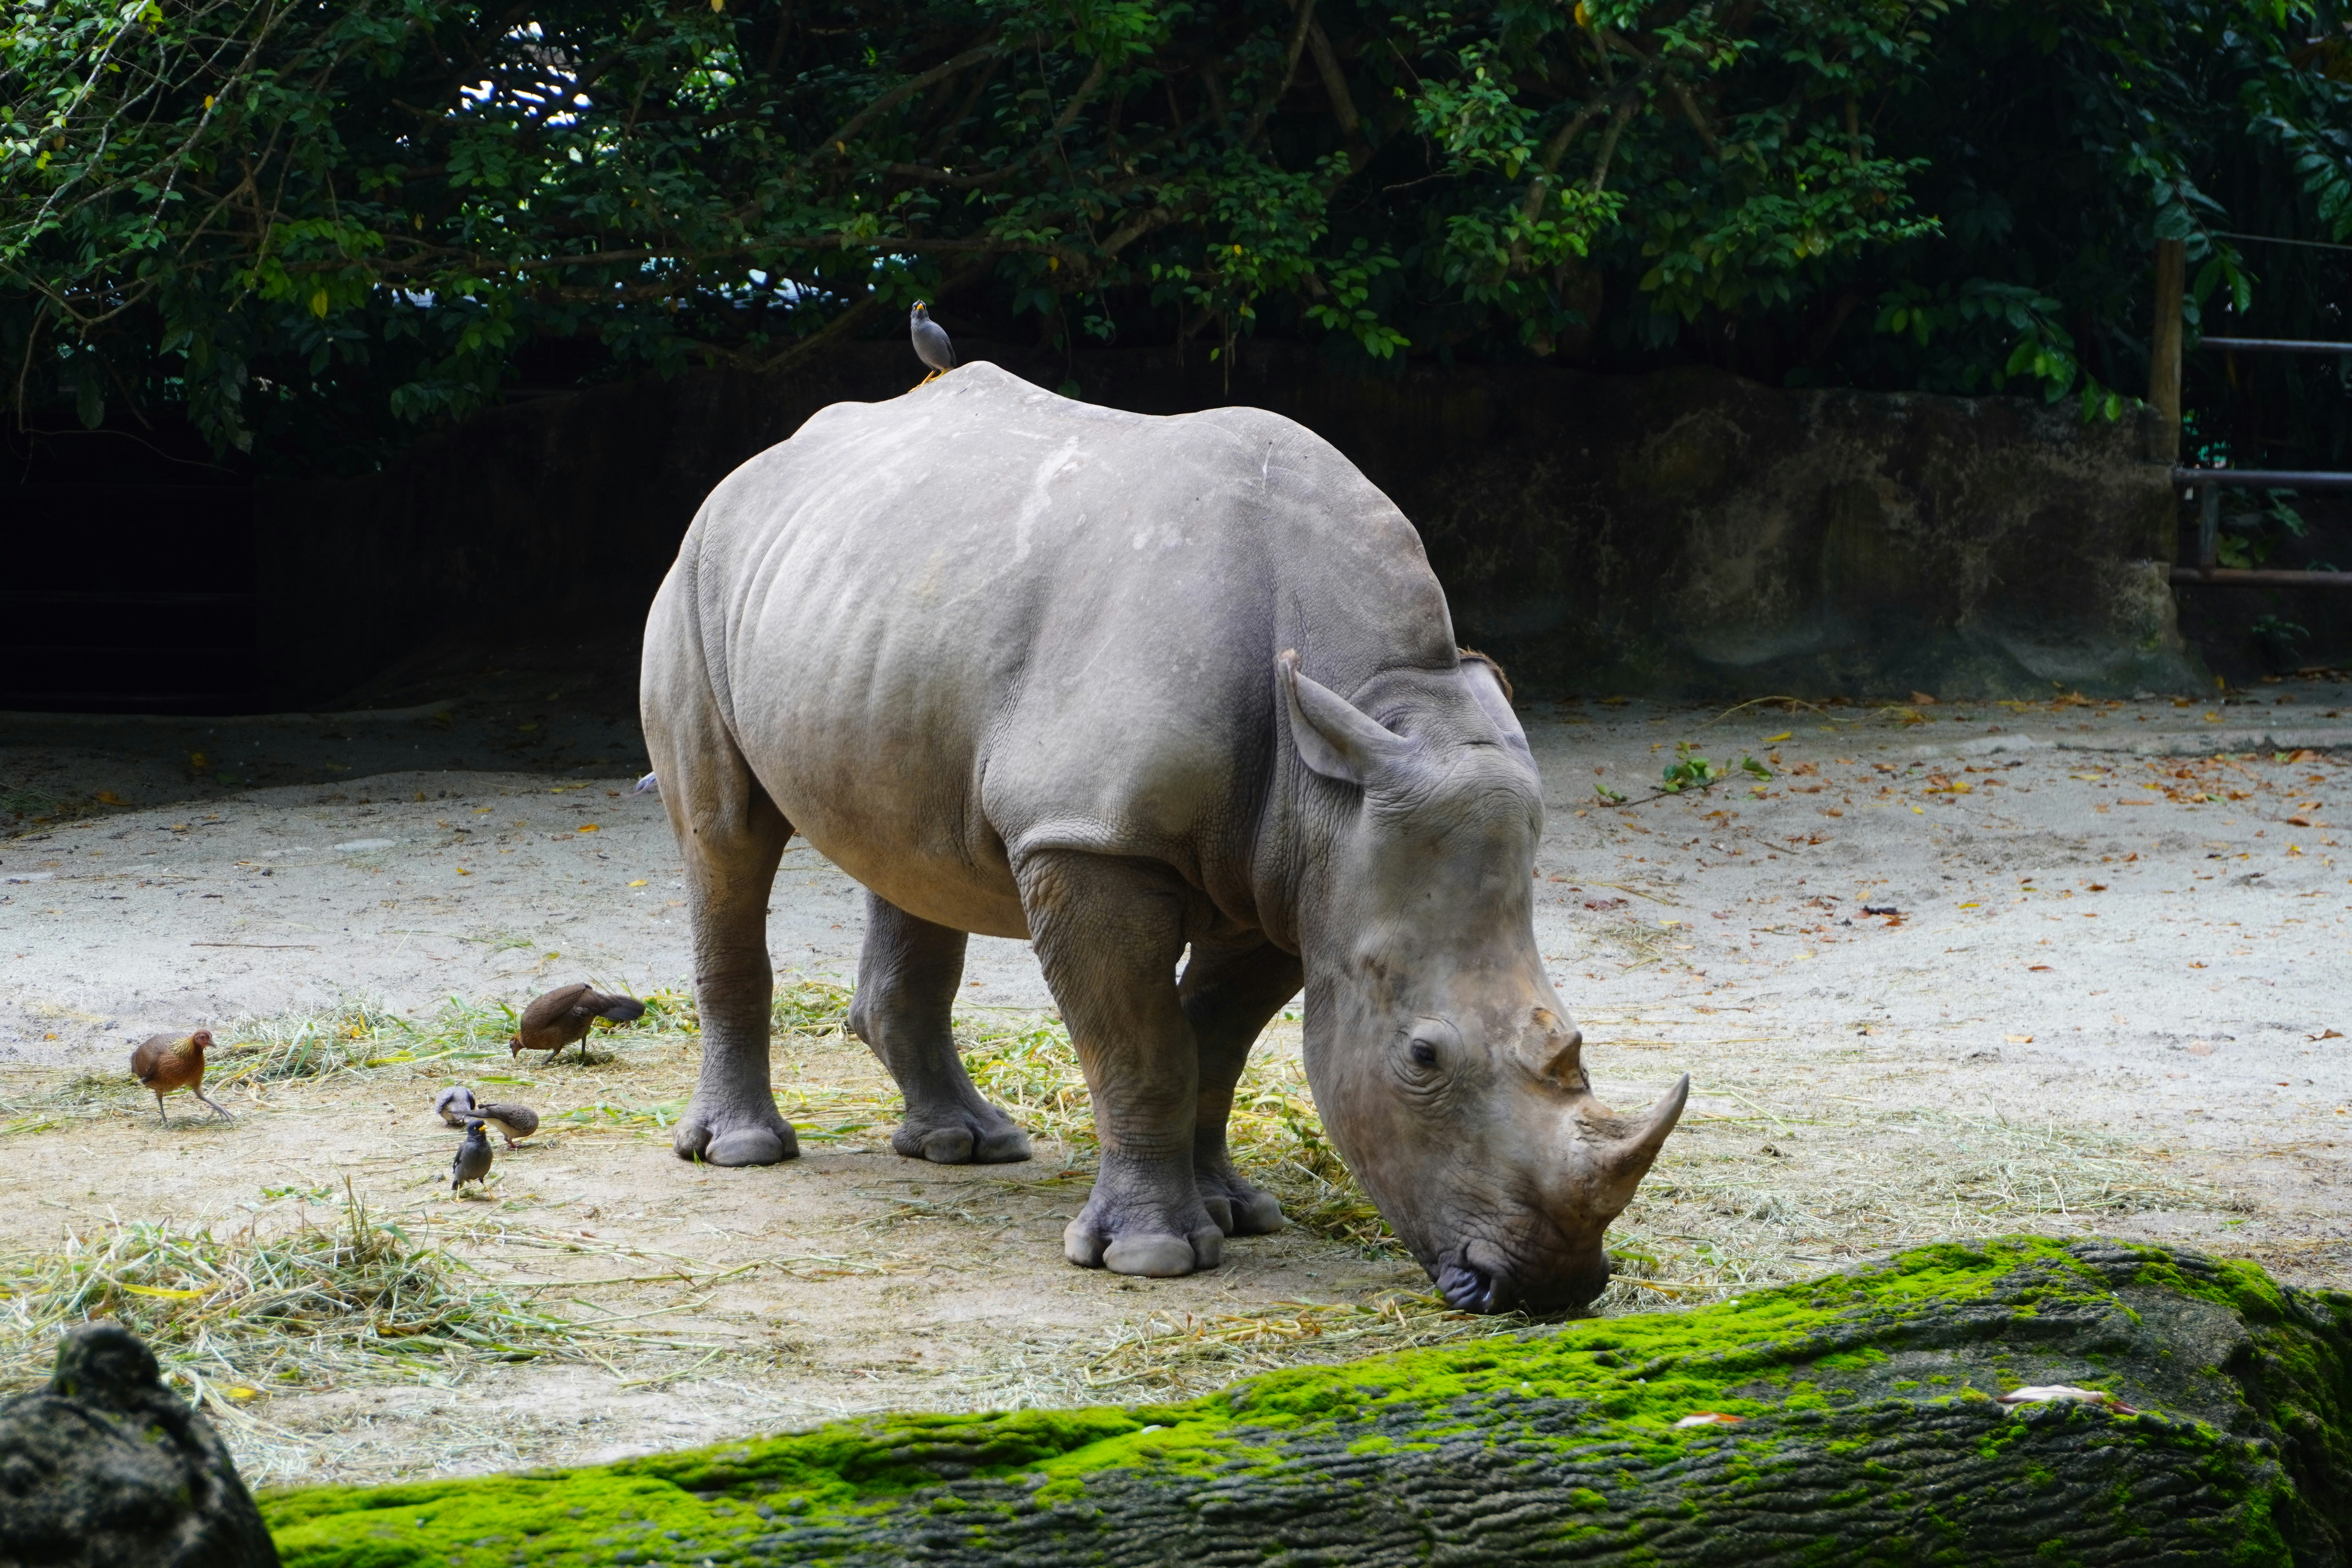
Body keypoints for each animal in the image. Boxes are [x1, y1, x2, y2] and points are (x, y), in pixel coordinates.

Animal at [639, 363, 1685, 1313]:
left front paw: (1234, 1211)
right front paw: (1155, 1256)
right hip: (699, 571)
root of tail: (765, 462)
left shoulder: (1295, 876)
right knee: (726, 838)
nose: (1549, 1287)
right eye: (1423, 1057)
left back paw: (969, 1145)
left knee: (907, 852)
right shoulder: (1095, 842)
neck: (1355, 741)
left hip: (879, 609)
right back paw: (744, 1151)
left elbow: (1212, 1043)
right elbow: (1144, 1047)